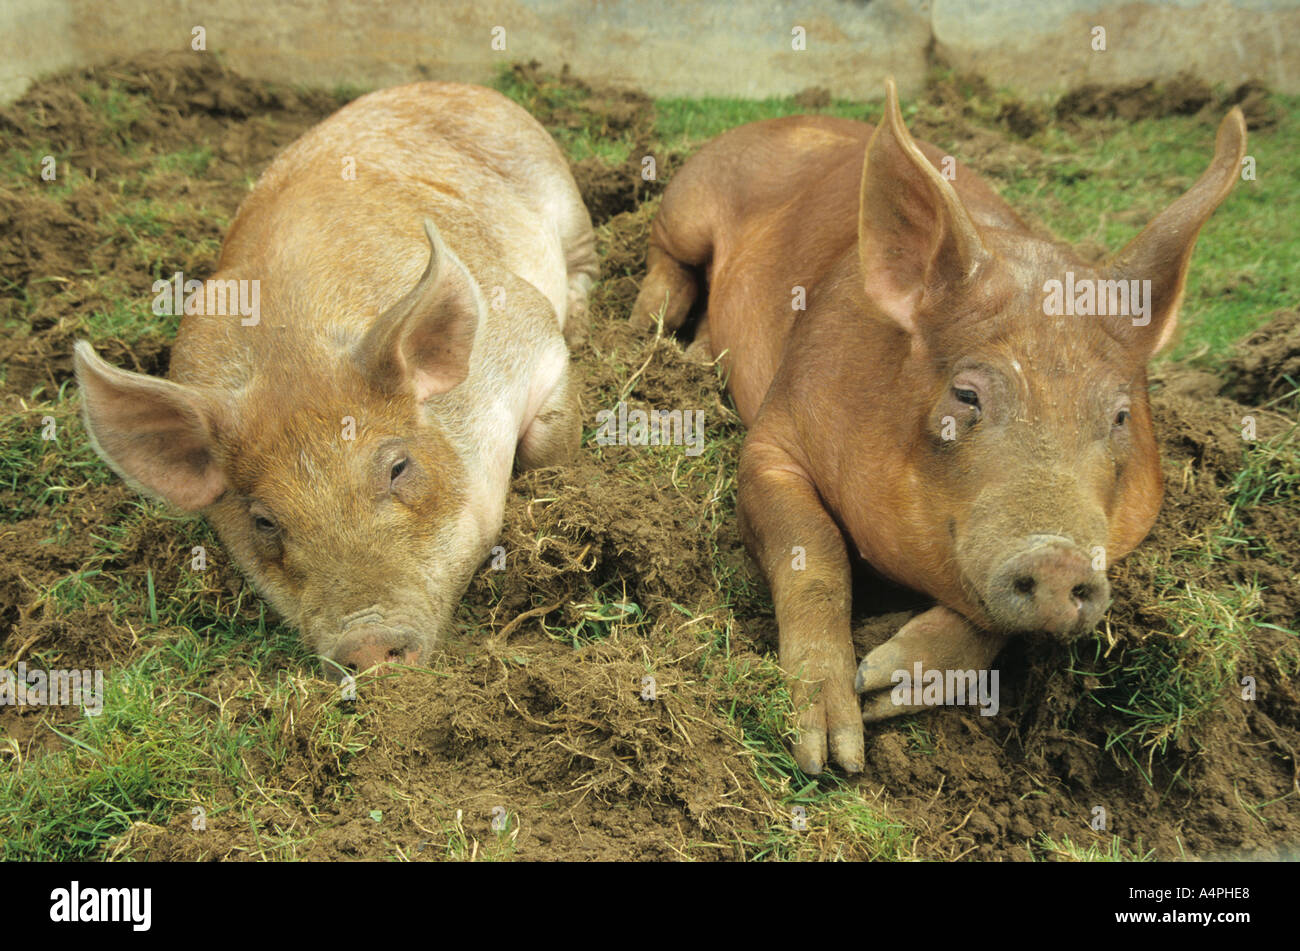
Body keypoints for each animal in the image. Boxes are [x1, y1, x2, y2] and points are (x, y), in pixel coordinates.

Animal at [75, 83, 596, 674]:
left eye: (397, 467)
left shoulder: (531, 336)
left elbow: (550, 440)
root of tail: (444, 87)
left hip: (562, 196)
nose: (367, 644)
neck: (291, 350)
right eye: (263, 521)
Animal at [631, 79, 1246, 774]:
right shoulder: (776, 435)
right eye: (967, 393)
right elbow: (812, 549)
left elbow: (989, 617)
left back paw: (693, 359)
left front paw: (883, 686)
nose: (1059, 558)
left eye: (1118, 415)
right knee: (669, 264)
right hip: (687, 204)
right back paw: (646, 334)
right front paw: (834, 750)